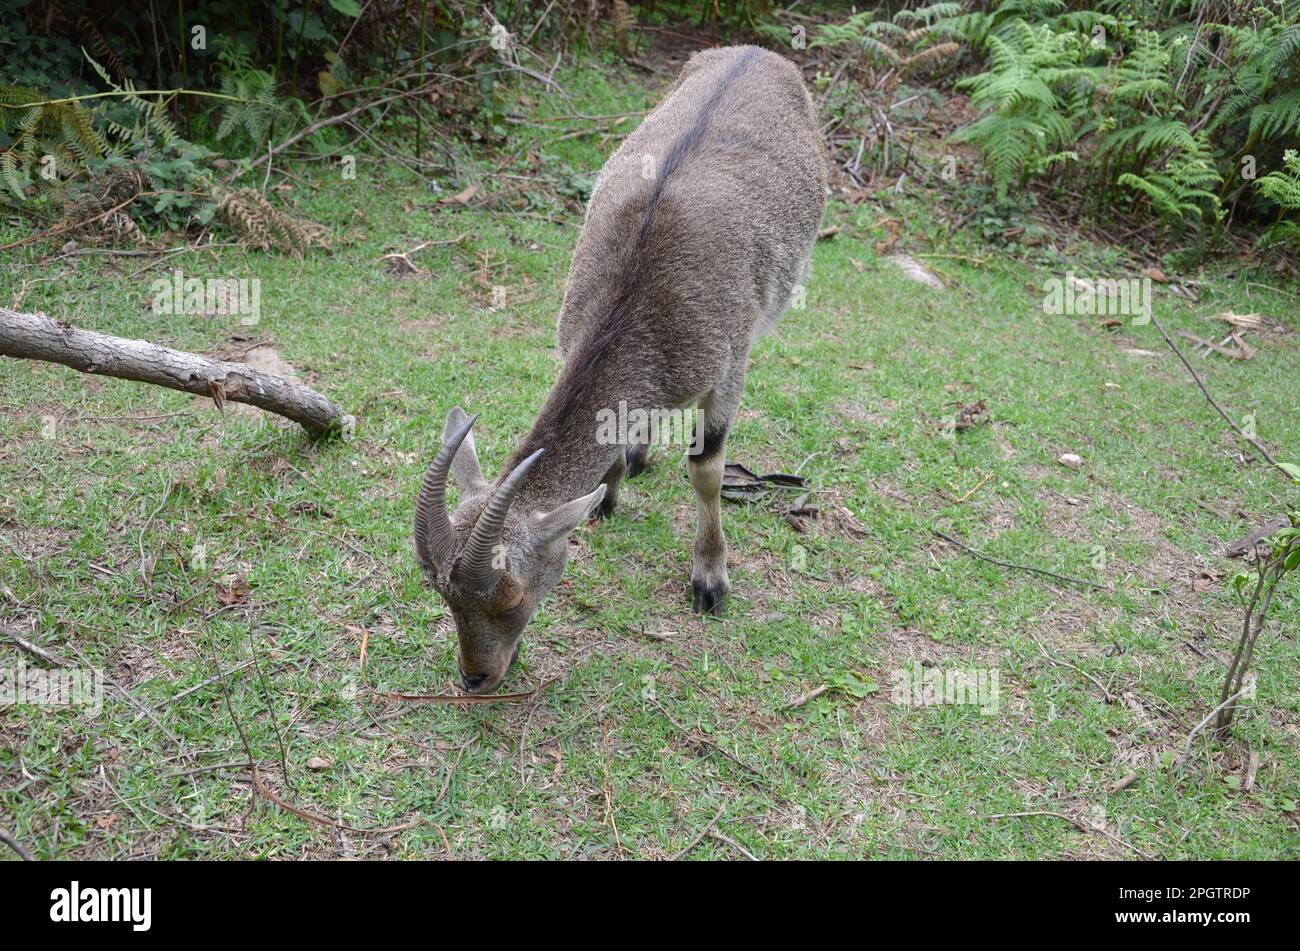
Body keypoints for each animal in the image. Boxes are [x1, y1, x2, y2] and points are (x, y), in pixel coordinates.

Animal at [415, 45, 827, 693]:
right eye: (442, 595)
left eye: (511, 597)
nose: (476, 677)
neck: (637, 286)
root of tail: (754, 51)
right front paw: (607, 492)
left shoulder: (727, 367)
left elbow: (707, 470)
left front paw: (710, 580)